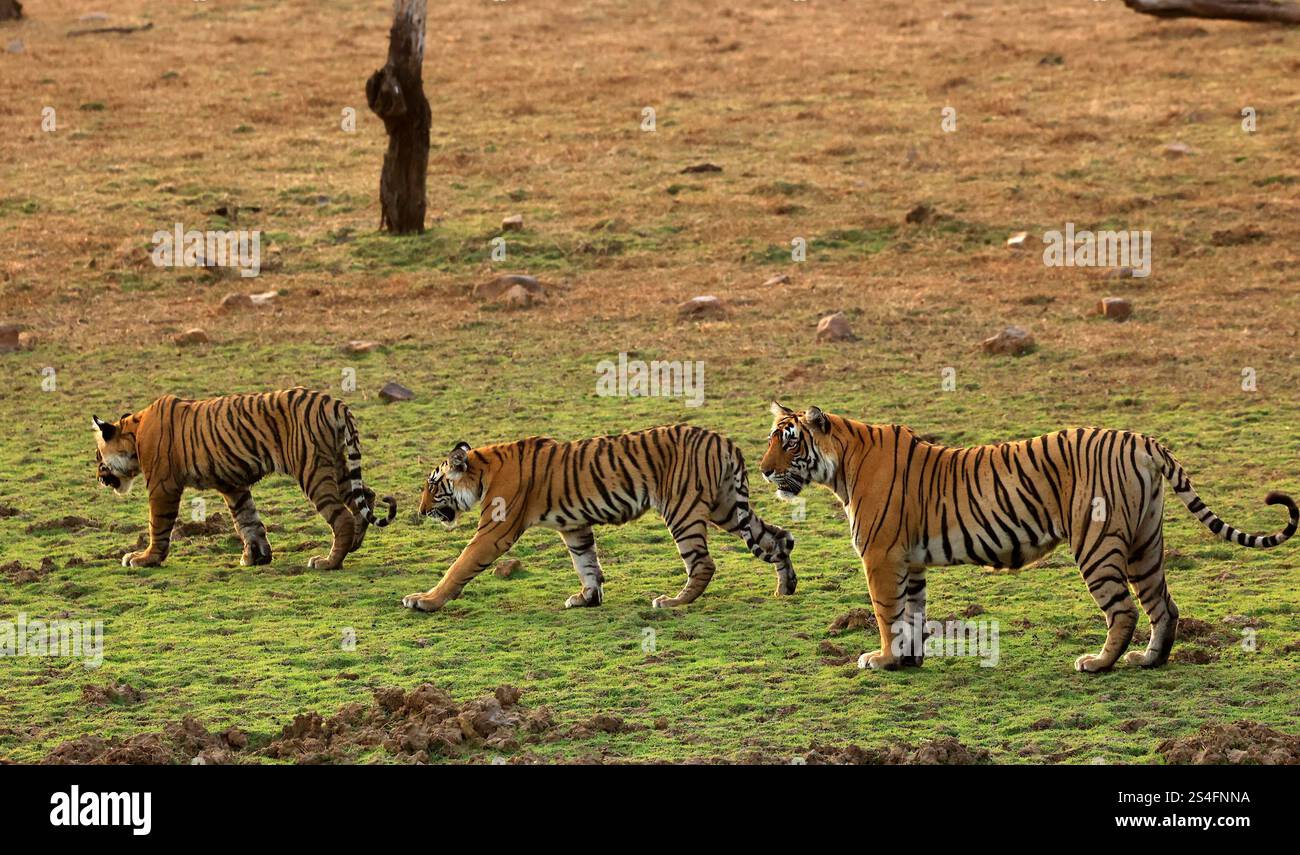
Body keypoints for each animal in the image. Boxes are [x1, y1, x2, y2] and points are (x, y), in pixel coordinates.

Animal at [92, 388, 396, 570]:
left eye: (97, 456)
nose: (98, 478)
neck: (134, 432)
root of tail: (333, 402)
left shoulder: (162, 486)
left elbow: (158, 524)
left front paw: (145, 558)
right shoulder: (233, 486)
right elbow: (248, 521)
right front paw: (256, 557)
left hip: (313, 471)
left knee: (341, 516)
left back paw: (328, 561)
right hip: (337, 465)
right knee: (366, 497)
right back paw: (354, 543)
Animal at [402, 424, 797, 612]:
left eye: (432, 485)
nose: (420, 511)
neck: (483, 470)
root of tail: (726, 442)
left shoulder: (494, 530)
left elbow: (459, 566)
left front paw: (424, 601)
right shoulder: (575, 527)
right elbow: (586, 563)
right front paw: (587, 598)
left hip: (683, 510)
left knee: (703, 563)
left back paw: (672, 602)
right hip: (726, 507)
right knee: (778, 538)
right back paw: (785, 588)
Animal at [760, 403, 1298, 673]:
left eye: (789, 441)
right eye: (772, 438)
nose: (764, 471)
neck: (842, 466)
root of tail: (1140, 440)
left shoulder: (881, 556)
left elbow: (886, 615)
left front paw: (884, 659)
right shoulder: (909, 562)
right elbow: (911, 614)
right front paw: (908, 661)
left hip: (1097, 543)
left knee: (1123, 610)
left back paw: (1098, 663)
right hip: (1147, 543)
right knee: (1164, 606)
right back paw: (1150, 660)